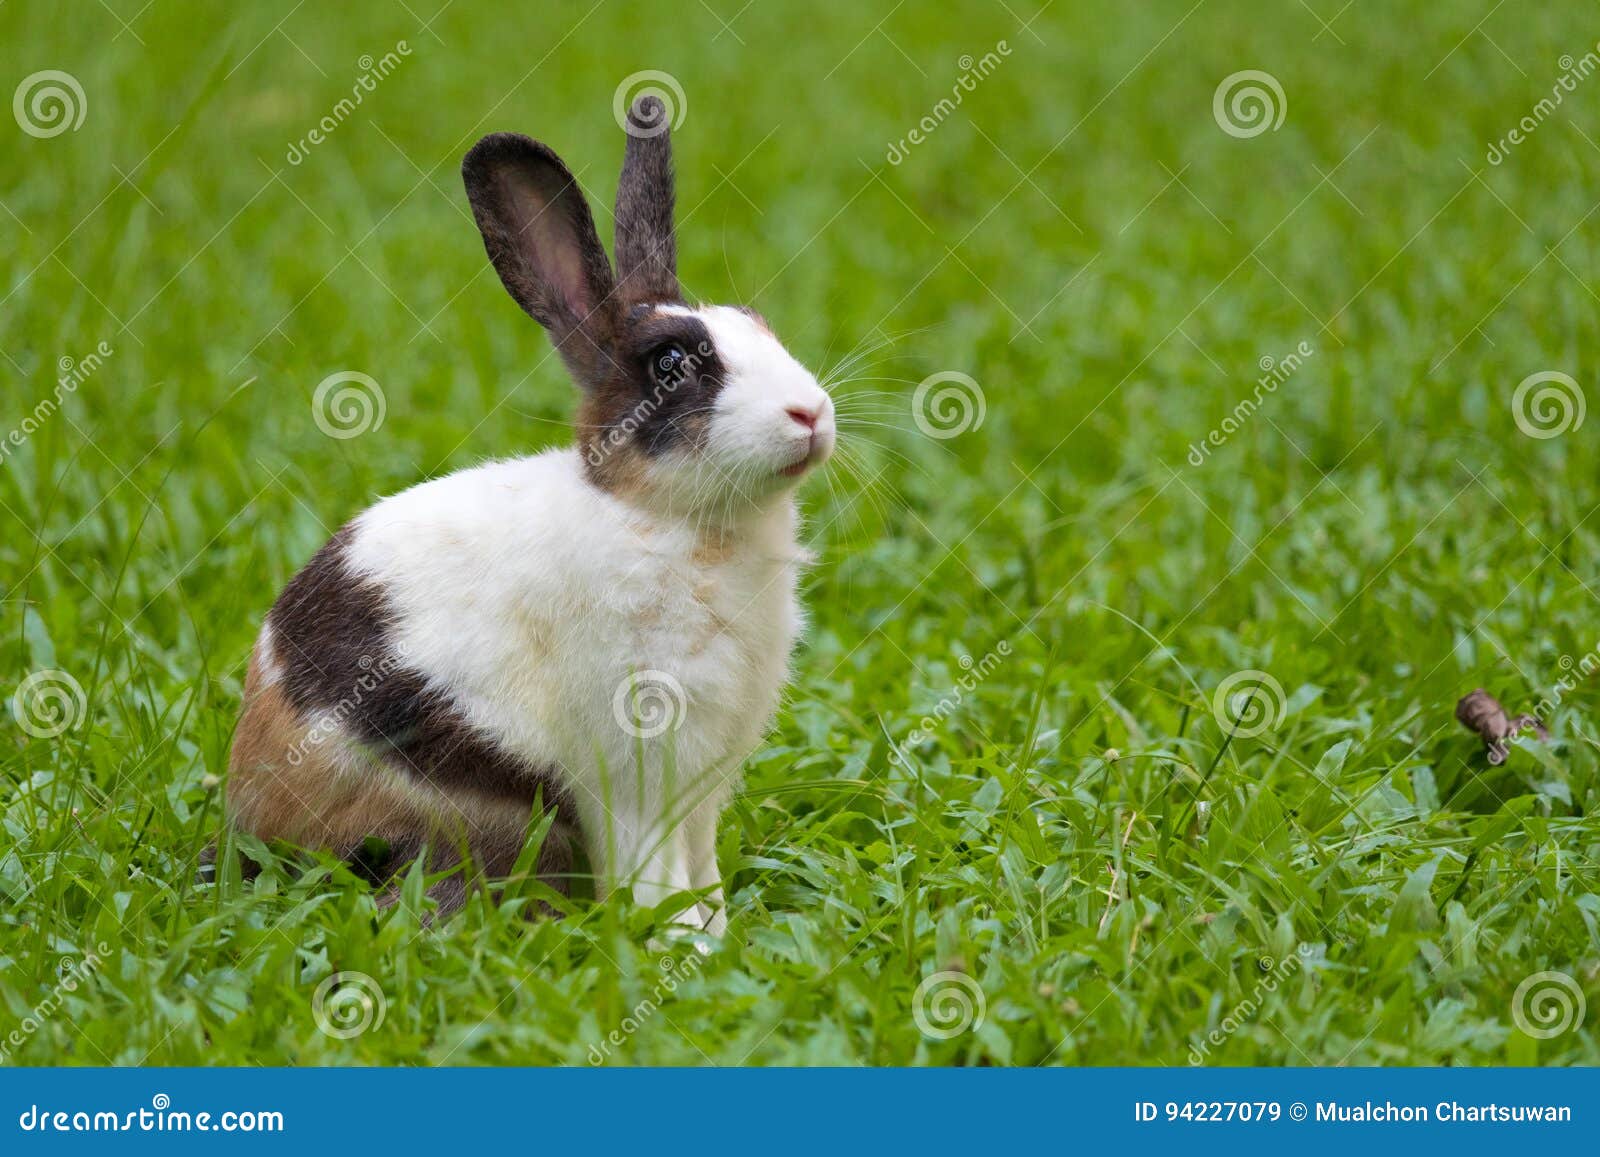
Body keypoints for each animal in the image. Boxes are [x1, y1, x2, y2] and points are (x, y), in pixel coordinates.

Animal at [225, 96, 834, 933]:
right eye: (672, 365)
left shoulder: (701, 783)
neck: (671, 522)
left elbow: (700, 862)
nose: (811, 413)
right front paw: (681, 942)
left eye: (760, 324)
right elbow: (653, 869)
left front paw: (717, 932)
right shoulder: (635, 766)